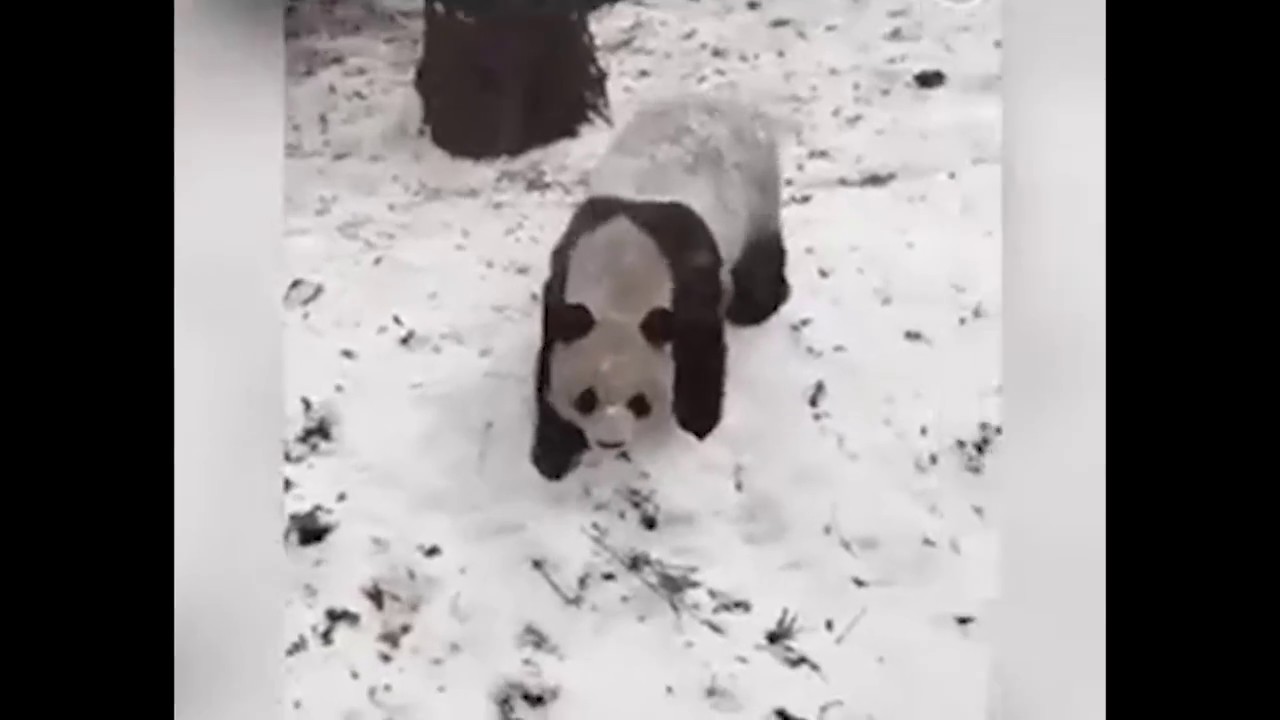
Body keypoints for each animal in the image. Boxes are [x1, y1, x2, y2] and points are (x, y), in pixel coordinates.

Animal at [531, 95, 791, 481]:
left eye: (639, 402)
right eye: (587, 398)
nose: (610, 443)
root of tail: (724, 101)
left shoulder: (691, 285)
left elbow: (701, 354)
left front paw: (698, 423)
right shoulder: (562, 282)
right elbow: (550, 357)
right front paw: (552, 453)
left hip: (757, 193)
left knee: (759, 263)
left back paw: (752, 307)